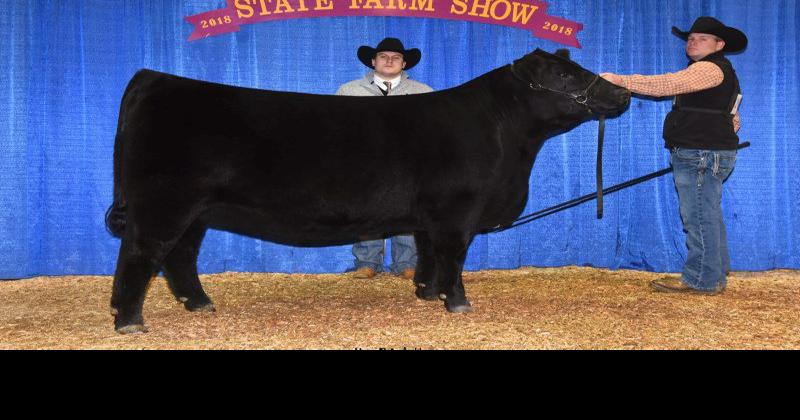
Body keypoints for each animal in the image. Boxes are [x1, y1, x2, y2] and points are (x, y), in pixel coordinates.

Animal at [106, 48, 630, 334]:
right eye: (564, 75)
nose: (623, 93)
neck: (509, 141)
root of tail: (153, 79)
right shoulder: (458, 210)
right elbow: (454, 254)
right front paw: (457, 302)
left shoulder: (430, 214)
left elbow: (428, 252)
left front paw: (427, 293)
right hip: (166, 203)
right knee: (142, 253)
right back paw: (129, 320)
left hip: (197, 210)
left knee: (180, 256)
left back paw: (199, 303)